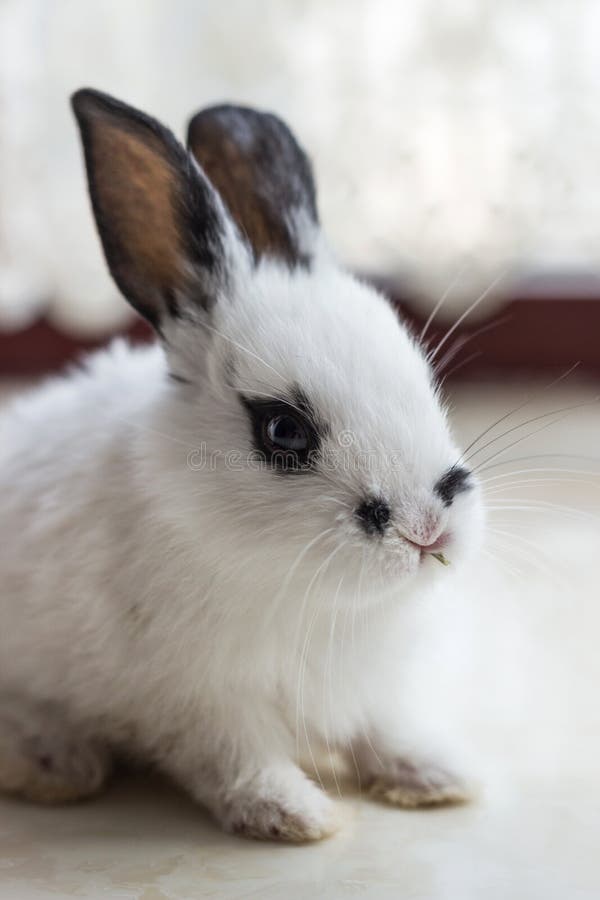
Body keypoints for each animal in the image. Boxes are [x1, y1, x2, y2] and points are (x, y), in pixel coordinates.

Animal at [0, 88, 484, 841]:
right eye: (284, 429)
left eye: (423, 382)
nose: (428, 530)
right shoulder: (202, 702)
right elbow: (238, 762)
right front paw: (298, 815)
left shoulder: (365, 687)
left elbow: (382, 731)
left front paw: (435, 776)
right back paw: (56, 764)